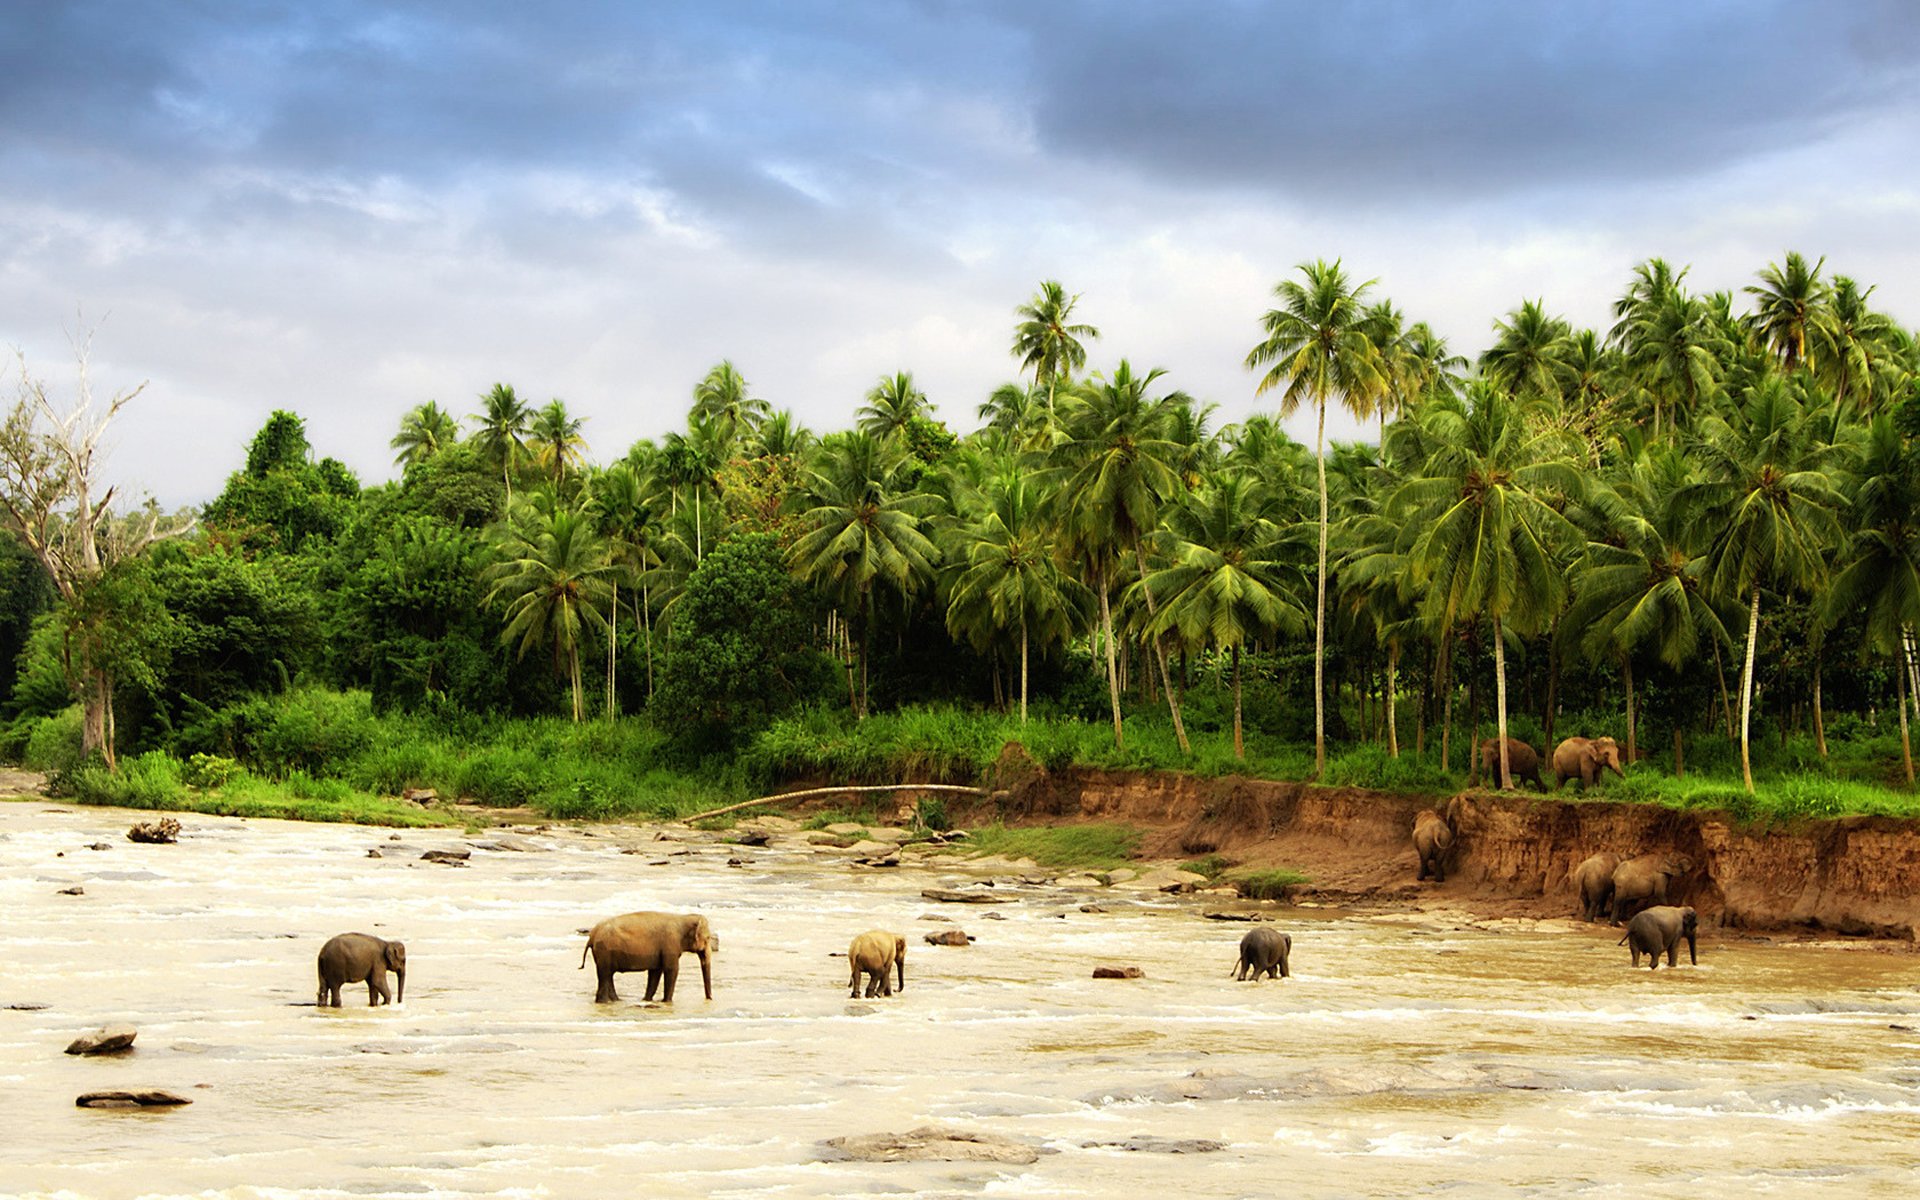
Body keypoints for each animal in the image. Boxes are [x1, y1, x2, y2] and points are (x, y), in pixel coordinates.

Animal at [580, 911, 714, 1003]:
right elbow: (671, 970)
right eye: (708, 938)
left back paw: (616, 1001)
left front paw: (646, 1000)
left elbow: (655, 972)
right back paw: (603, 1002)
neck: (683, 917)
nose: (710, 999)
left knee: (608, 976)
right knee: (605, 975)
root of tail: (592, 935)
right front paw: (667, 1002)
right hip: (604, 951)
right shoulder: (671, 944)